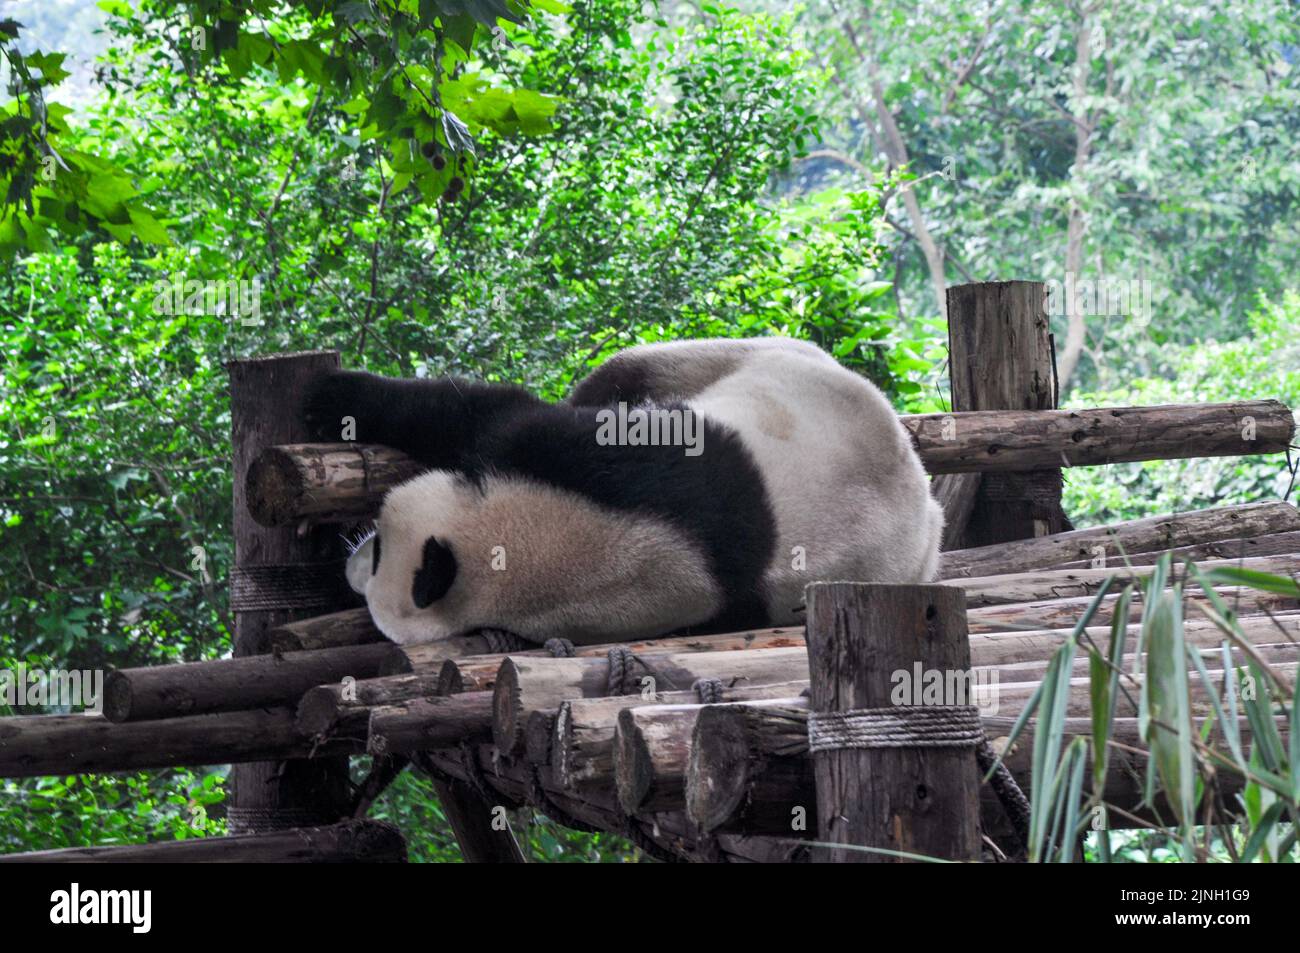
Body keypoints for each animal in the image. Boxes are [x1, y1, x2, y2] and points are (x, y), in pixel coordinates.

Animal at [302, 337, 943, 647]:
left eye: (382, 557)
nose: (352, 566)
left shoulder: (609, 465)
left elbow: (477, 413)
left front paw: (333, 396)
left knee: (620, 372)